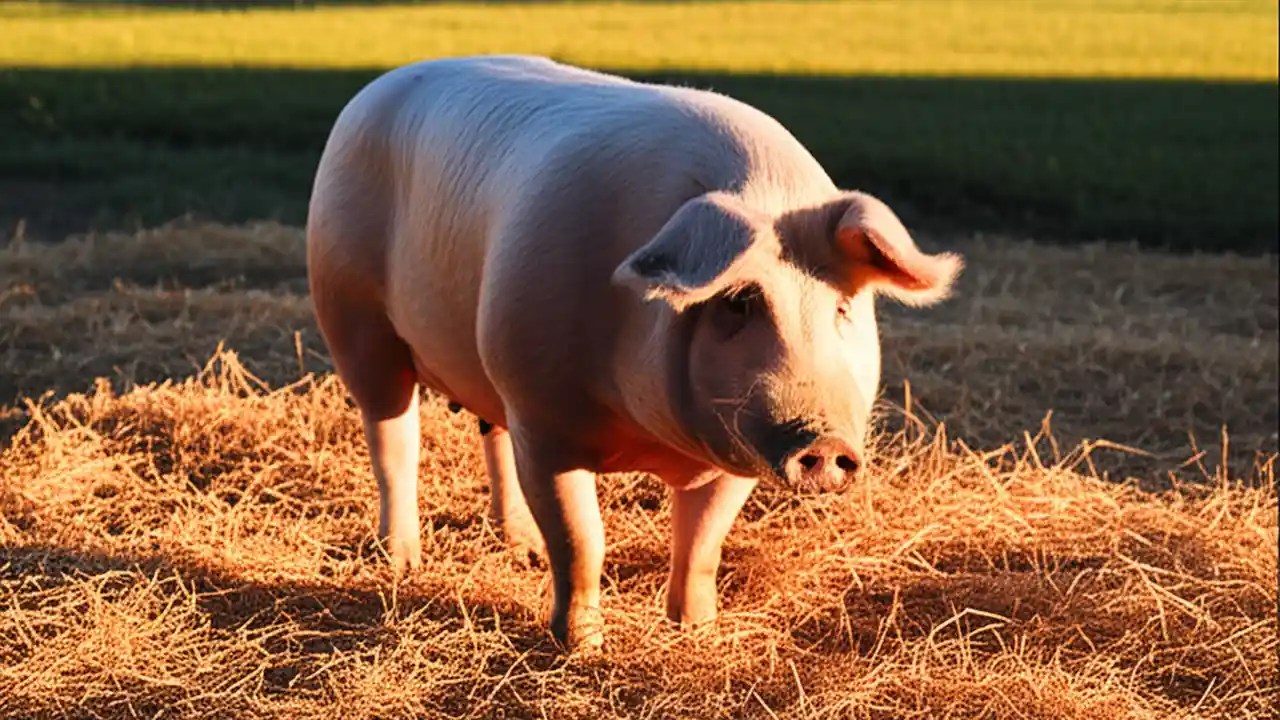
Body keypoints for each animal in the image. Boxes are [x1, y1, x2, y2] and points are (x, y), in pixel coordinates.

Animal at [306, 55, 962, 651]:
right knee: (393, 441)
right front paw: (582, 648)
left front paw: (698, 635)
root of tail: (377, 87)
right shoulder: (545, 419)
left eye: (843, 308)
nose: (824, 443)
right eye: (740, 302)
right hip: (353, 315)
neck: (652, 438)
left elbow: (701, 545)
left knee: (489, 432)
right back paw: (401, 562)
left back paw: (518, 548)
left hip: (484, 367)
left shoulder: (735, 453)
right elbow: (582, 541)